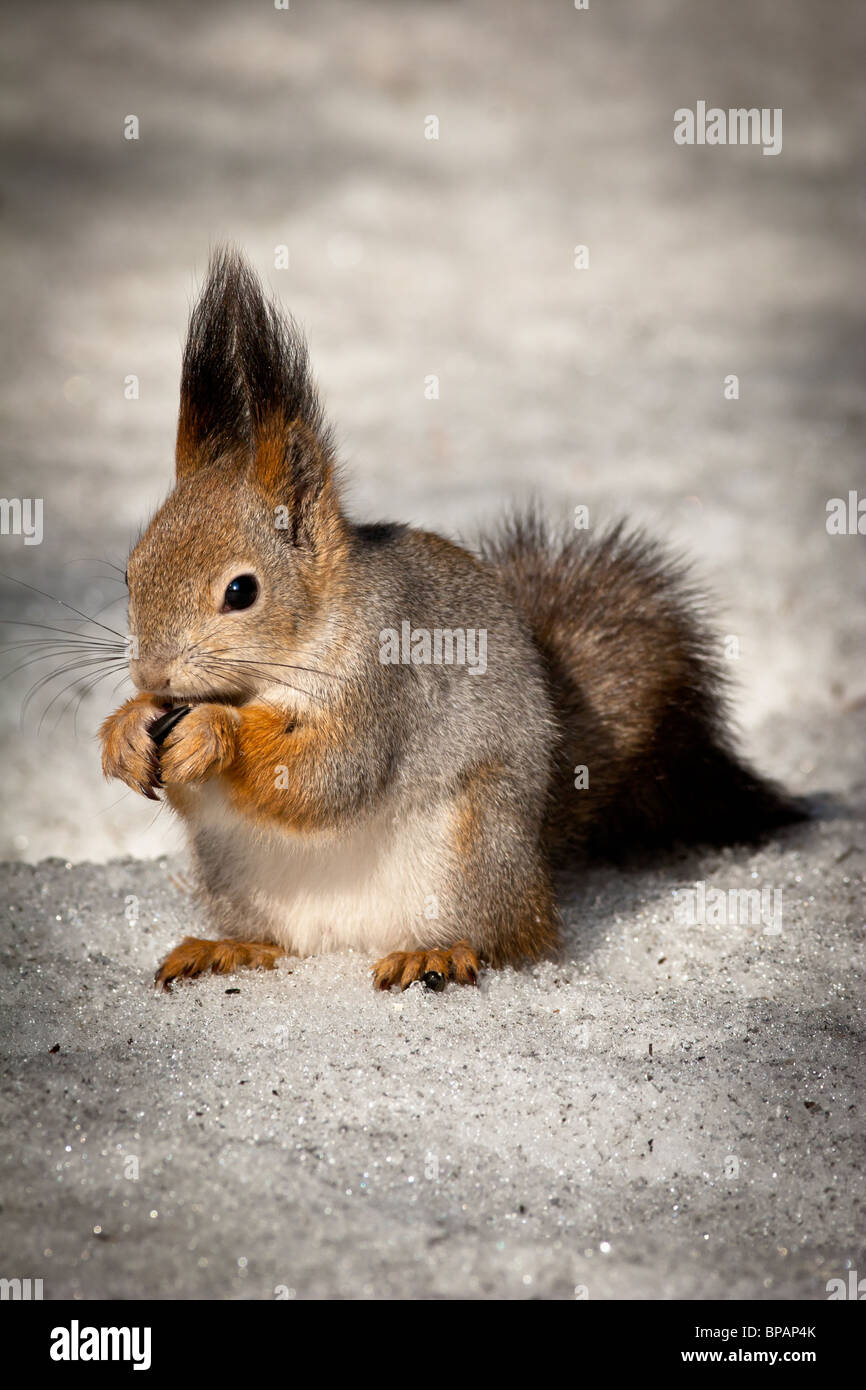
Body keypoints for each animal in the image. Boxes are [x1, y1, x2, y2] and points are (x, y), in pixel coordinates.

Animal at [99, 248, 804, 992]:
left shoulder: (385, 688)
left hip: (471, 848)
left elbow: (329, 777)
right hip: (237, 871)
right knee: (278, 941)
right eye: (131, 573)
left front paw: (213, 732)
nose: (151, 673)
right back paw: (230, 947)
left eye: (241, 591)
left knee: (508, 942)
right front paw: (125, 730)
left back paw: (438, 952)